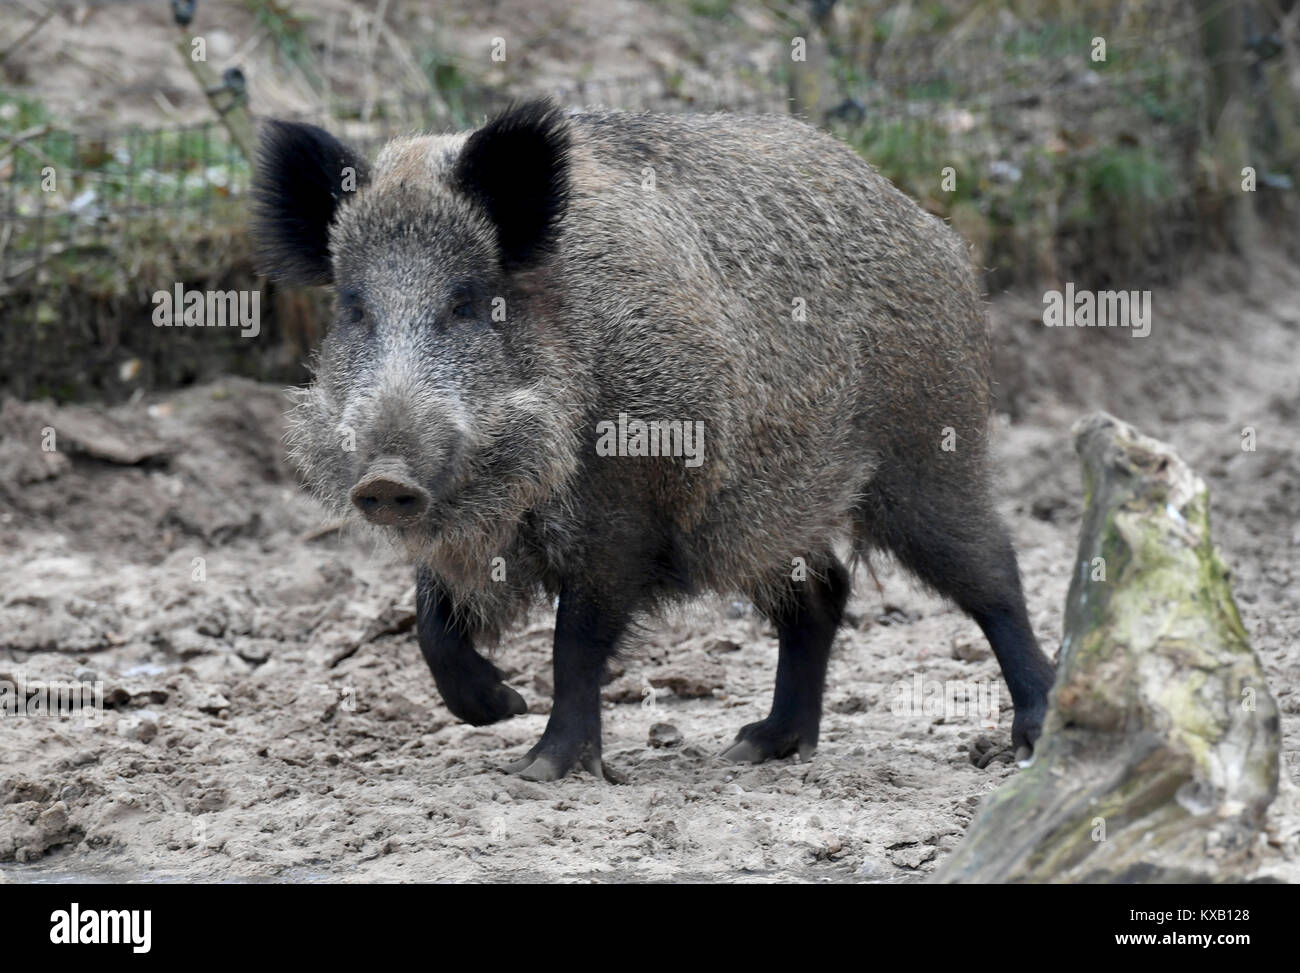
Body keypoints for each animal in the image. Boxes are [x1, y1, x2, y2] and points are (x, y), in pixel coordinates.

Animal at [252, 99, 1056, 781]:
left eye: (467, 302)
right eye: (354, 308)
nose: (384, 480)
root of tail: (938, 236)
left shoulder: (629, 510)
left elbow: (575, 643)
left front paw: (541, 769)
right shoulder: (472, 529)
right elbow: (431, 620)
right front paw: (500, 708)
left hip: (927, 450)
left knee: (993, 573)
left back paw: (1030, 738)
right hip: (759, 514)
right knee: (823, 592)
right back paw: (757, 746)